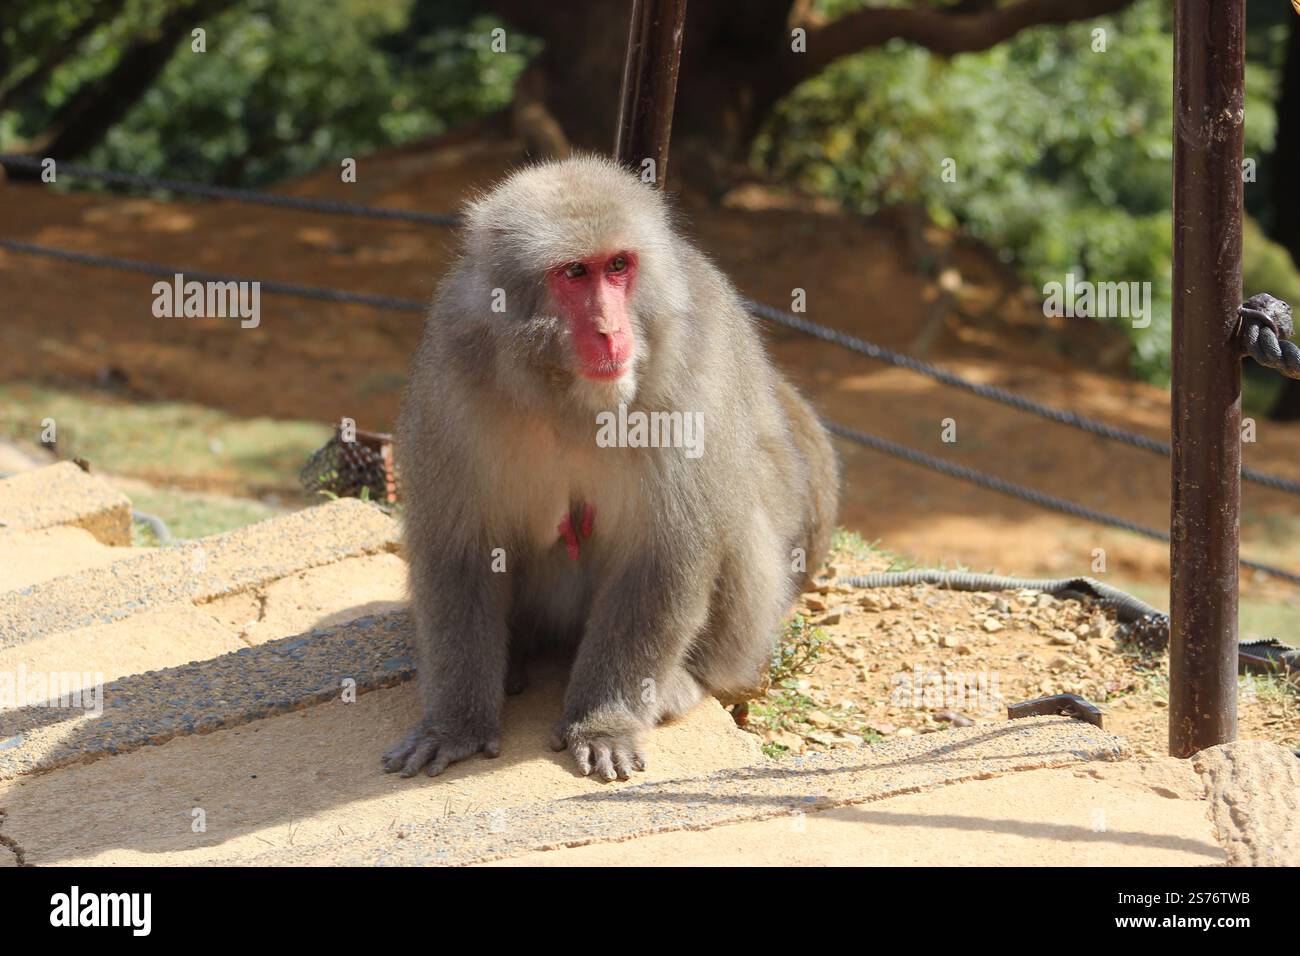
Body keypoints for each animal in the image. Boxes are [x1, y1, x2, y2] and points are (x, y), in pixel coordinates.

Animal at [382, 154, 838, 782]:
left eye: (618, 266)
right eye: (575, 273)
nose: (609, 331)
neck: (570, 399)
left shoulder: (690, 375)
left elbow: (665, 554)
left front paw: (604, 723)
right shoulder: (450, 373)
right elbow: (459, 549)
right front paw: (455, 724)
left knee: (740, 511)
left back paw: (686, 681)